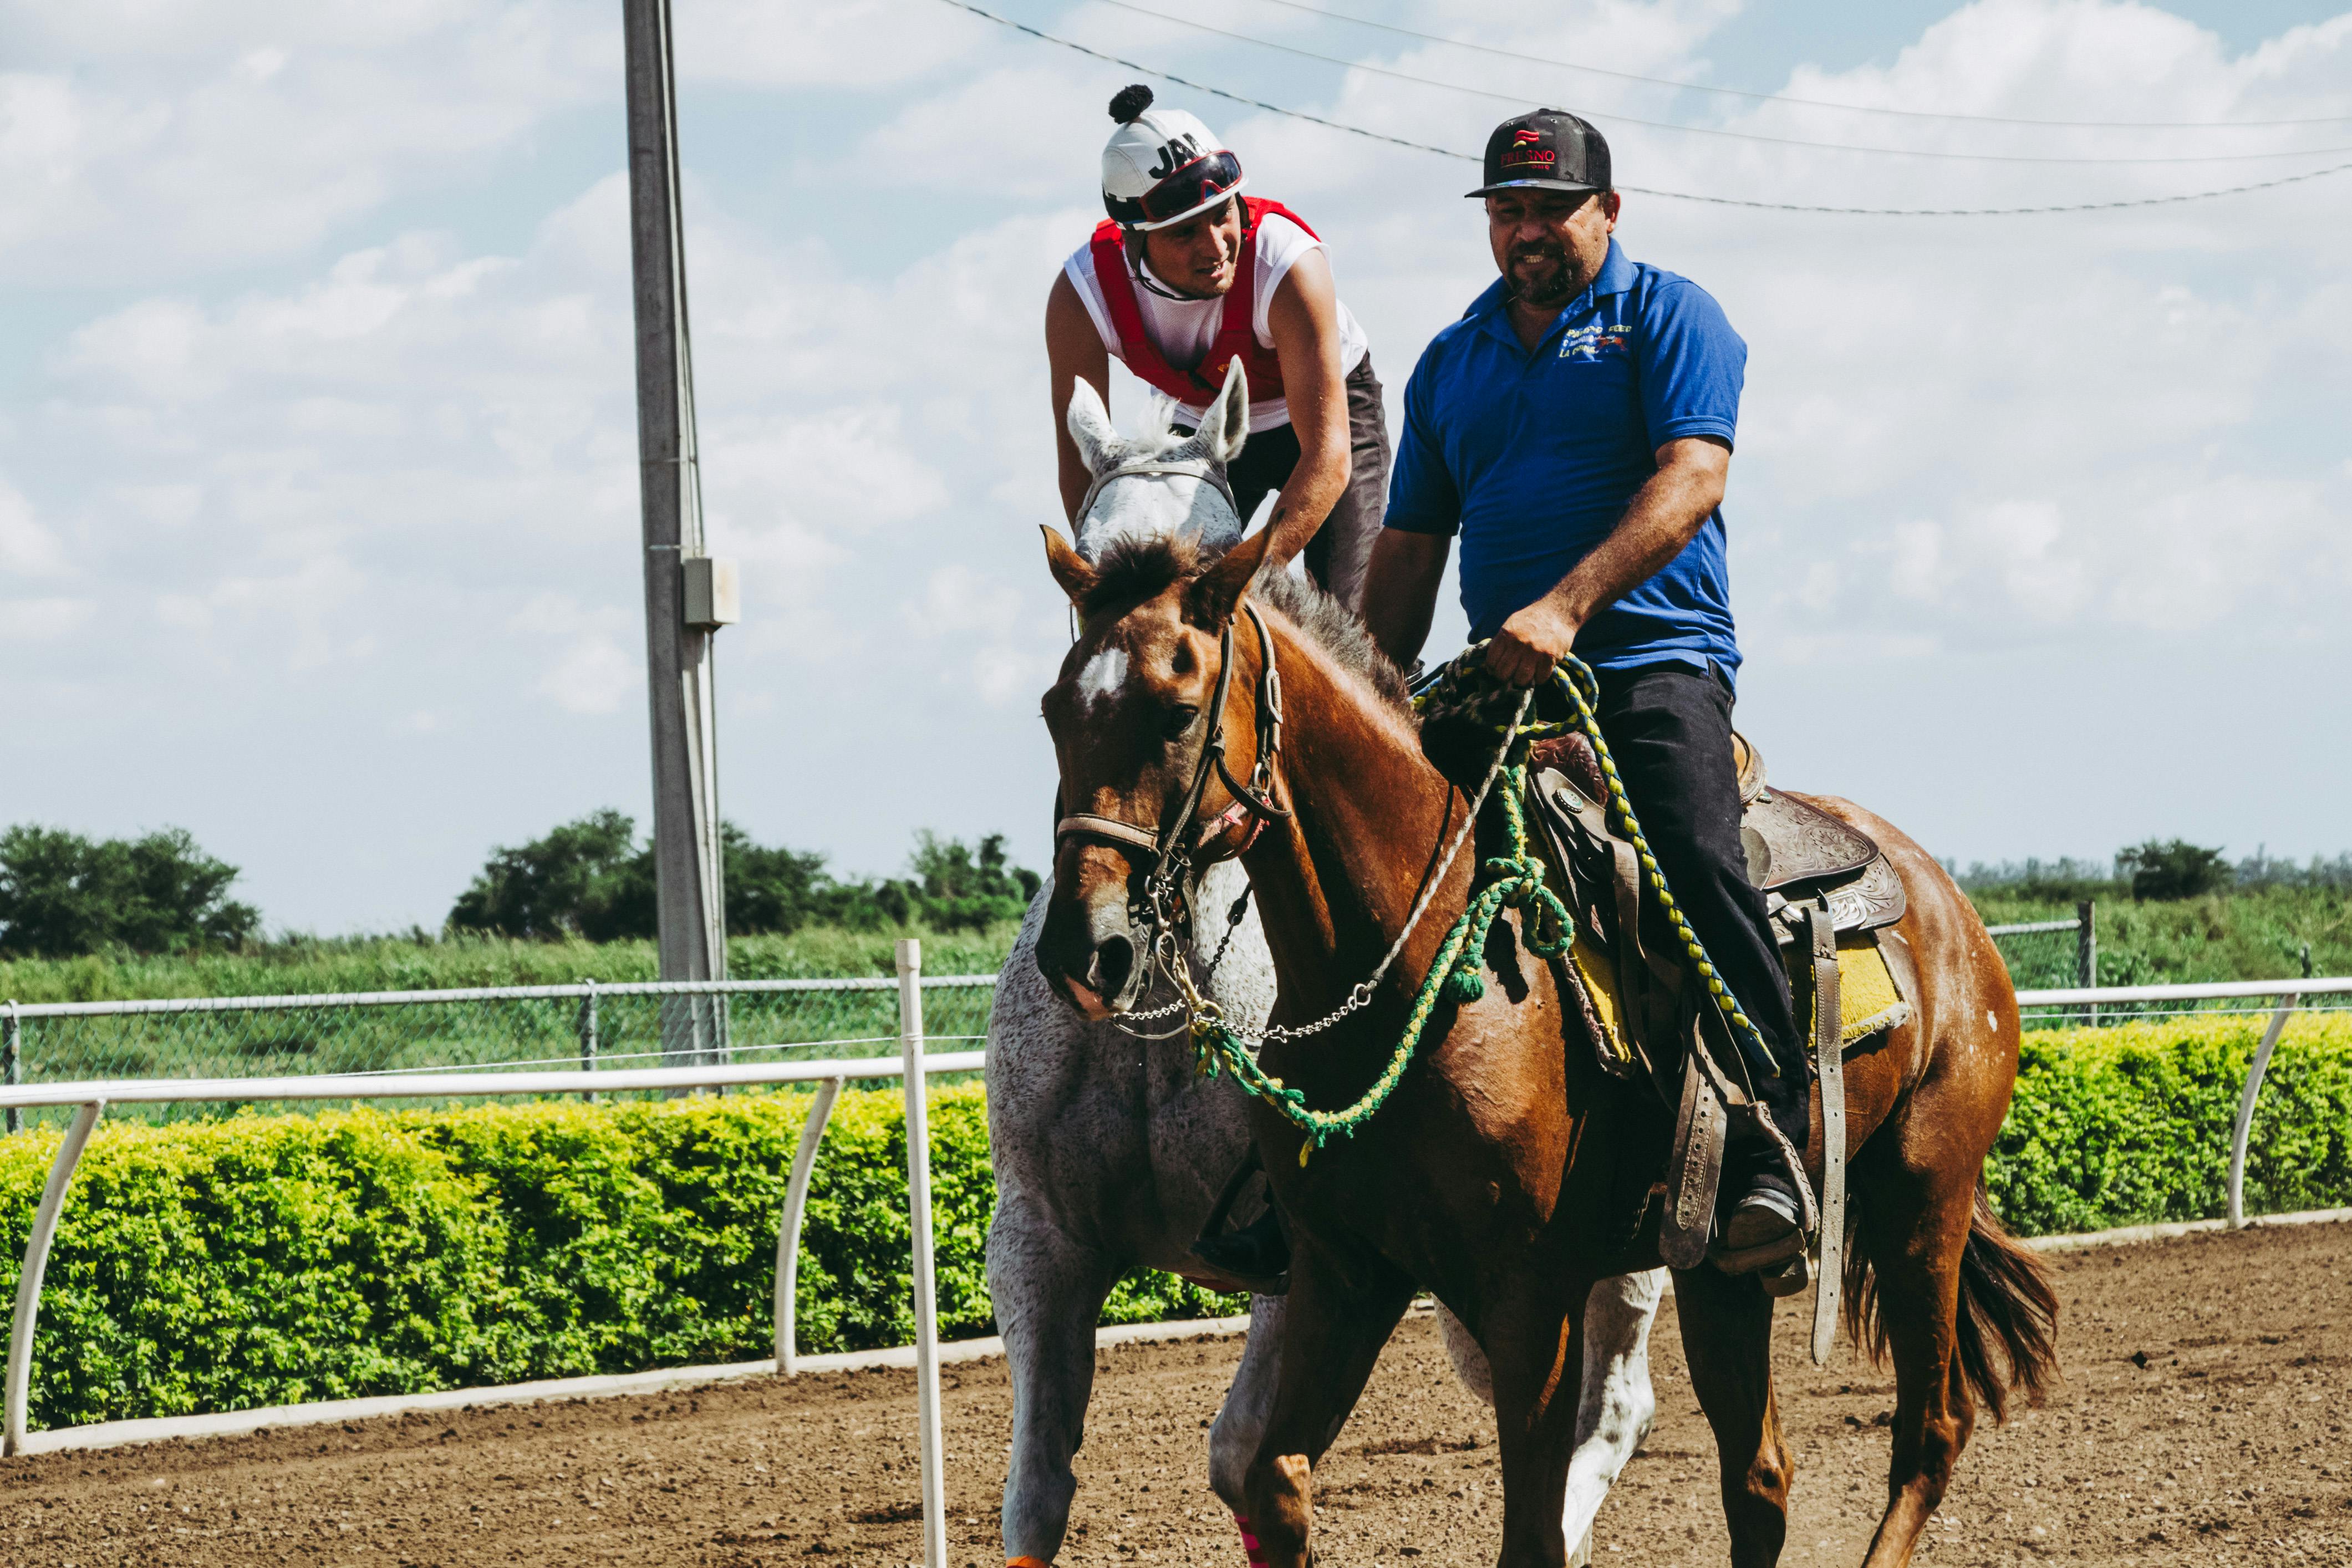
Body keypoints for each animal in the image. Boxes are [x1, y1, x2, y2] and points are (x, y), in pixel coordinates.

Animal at [986, 364, 1670, 1567]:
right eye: (1084, 565)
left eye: (1223, 550)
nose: (1090, 944)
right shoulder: (1040, 1242)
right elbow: (1035, 1500)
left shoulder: (1297, 1259)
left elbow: (1239, 1461)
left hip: (1615, 1246)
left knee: (1616, 1398)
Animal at [1030, 521, 2060, 1568]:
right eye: (1053, 711)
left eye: (1177, 712)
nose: (1083, 947)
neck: (1421, 958)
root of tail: (1946, 902)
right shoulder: (1342, 1274)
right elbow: (1274, 1484)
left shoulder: (1531, 1300)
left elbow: (1530, 1530)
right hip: (1719, 1267)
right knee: (1759, 1477)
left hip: (1921, 1199)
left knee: (1928, 1431)